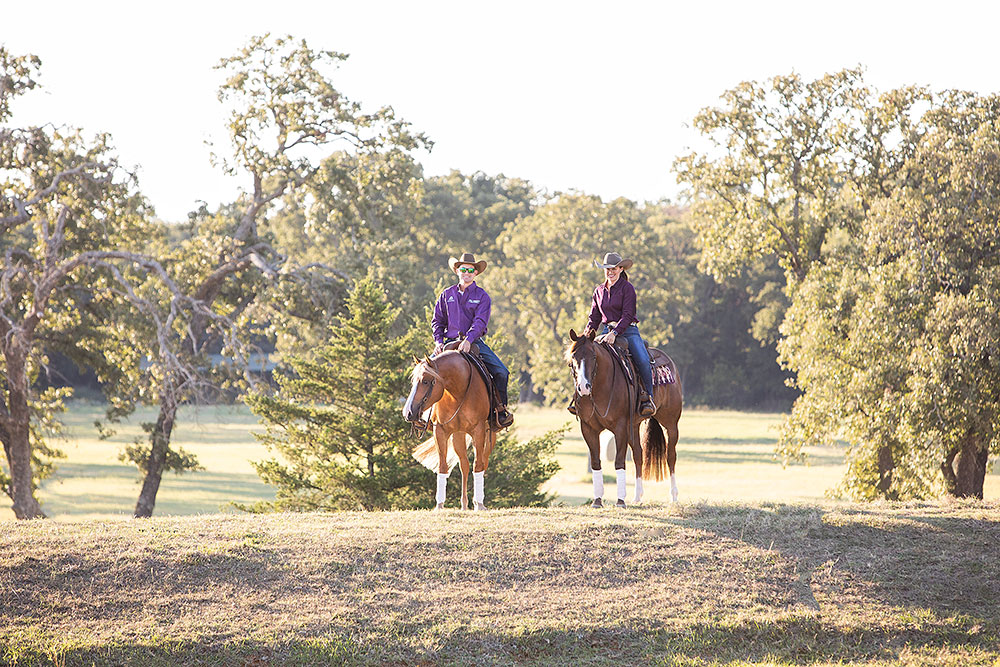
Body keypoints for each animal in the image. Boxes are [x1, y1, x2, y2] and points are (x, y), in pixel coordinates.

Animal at [402, 350, 497, 510]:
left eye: (426, 381)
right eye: (413, 381)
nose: (408, 413)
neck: (457, 392)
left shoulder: (479, 431)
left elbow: (478, 465)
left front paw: (479, 504)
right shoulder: (440, 432)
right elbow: (443, 466)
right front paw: (439, 505)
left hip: (490, 435)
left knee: (483, 462)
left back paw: (477, 502)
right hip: (458, 435)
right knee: (464, 465)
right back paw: (464, 505)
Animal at [566, 328, 682, 507]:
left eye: (593, 356)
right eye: (573, 358)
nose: (584, 388)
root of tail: (670, 363)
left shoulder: (620, 427)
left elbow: (619, 461)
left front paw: (620, 500)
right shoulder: (588, 428)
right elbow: (595, 462)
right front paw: (597, 500)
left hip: (671, 423)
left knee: (671, 457)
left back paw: (674, 497)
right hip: (633, 427)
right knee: (638, 456)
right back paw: (637, 497)